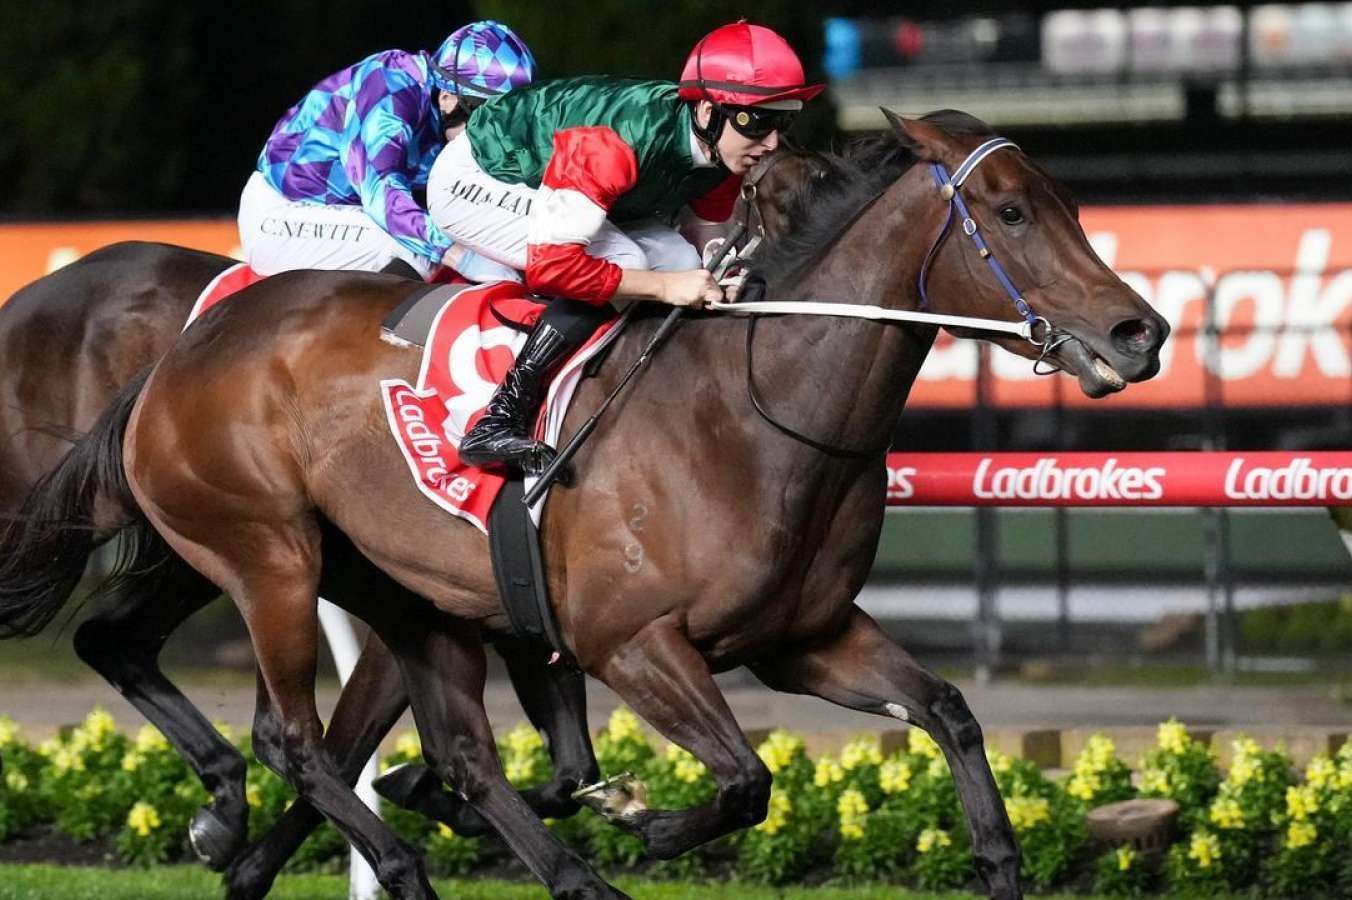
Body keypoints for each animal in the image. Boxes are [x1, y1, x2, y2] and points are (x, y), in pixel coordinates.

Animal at [0, 110, 1167, 899]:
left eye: (1067, 203)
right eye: (1010, 212)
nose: (1140, 332)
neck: (755, 411)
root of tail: (178, 358)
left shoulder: (803, 636)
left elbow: (948, 711)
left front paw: (999, 861)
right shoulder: (629, 641)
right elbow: (744, 778)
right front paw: (644, 824)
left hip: (372, 586)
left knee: (430, 747)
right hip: (265, 558)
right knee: (289, 736)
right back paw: (388, 857)